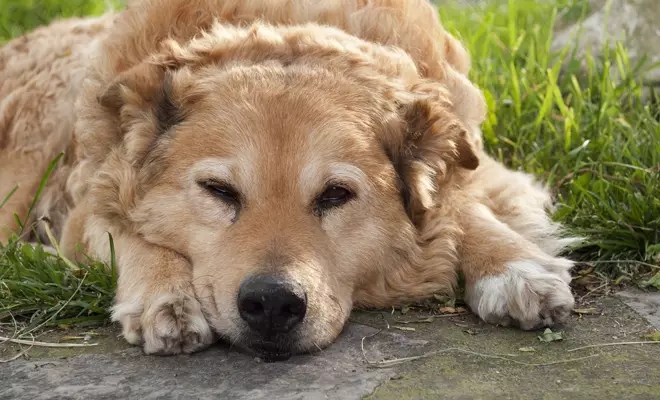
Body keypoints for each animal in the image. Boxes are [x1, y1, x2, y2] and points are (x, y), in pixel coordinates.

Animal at [0, 0, 576, 360]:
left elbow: (462, 205)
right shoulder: (87, 203)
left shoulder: (478, 165)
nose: (272, 305)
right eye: (218, 191)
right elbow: (129, 230)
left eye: (336, 195)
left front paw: (511, 264)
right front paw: (165, 294)